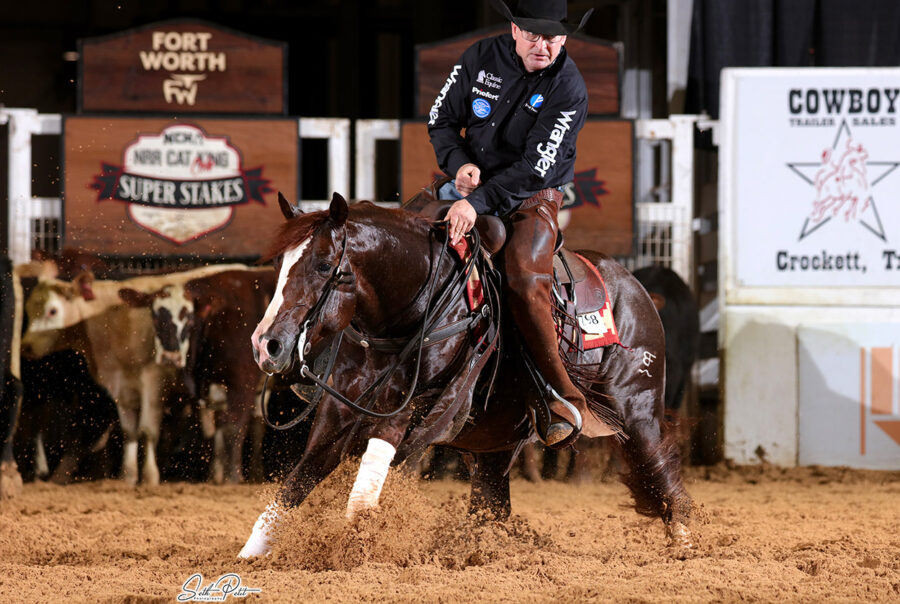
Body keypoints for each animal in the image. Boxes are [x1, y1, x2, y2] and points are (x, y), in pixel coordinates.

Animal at [238, 192, 694, 557]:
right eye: (279, 264)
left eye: (322, 265)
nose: (266, 344)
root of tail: (636, 287)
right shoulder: (338, 413)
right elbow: (295, 485)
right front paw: (251, 556)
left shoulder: (415, 413)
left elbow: (365, 492)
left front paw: (354, 548)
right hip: (496, 446)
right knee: (492, 506)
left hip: (638, 412)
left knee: (663, 478)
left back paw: (687, 547)